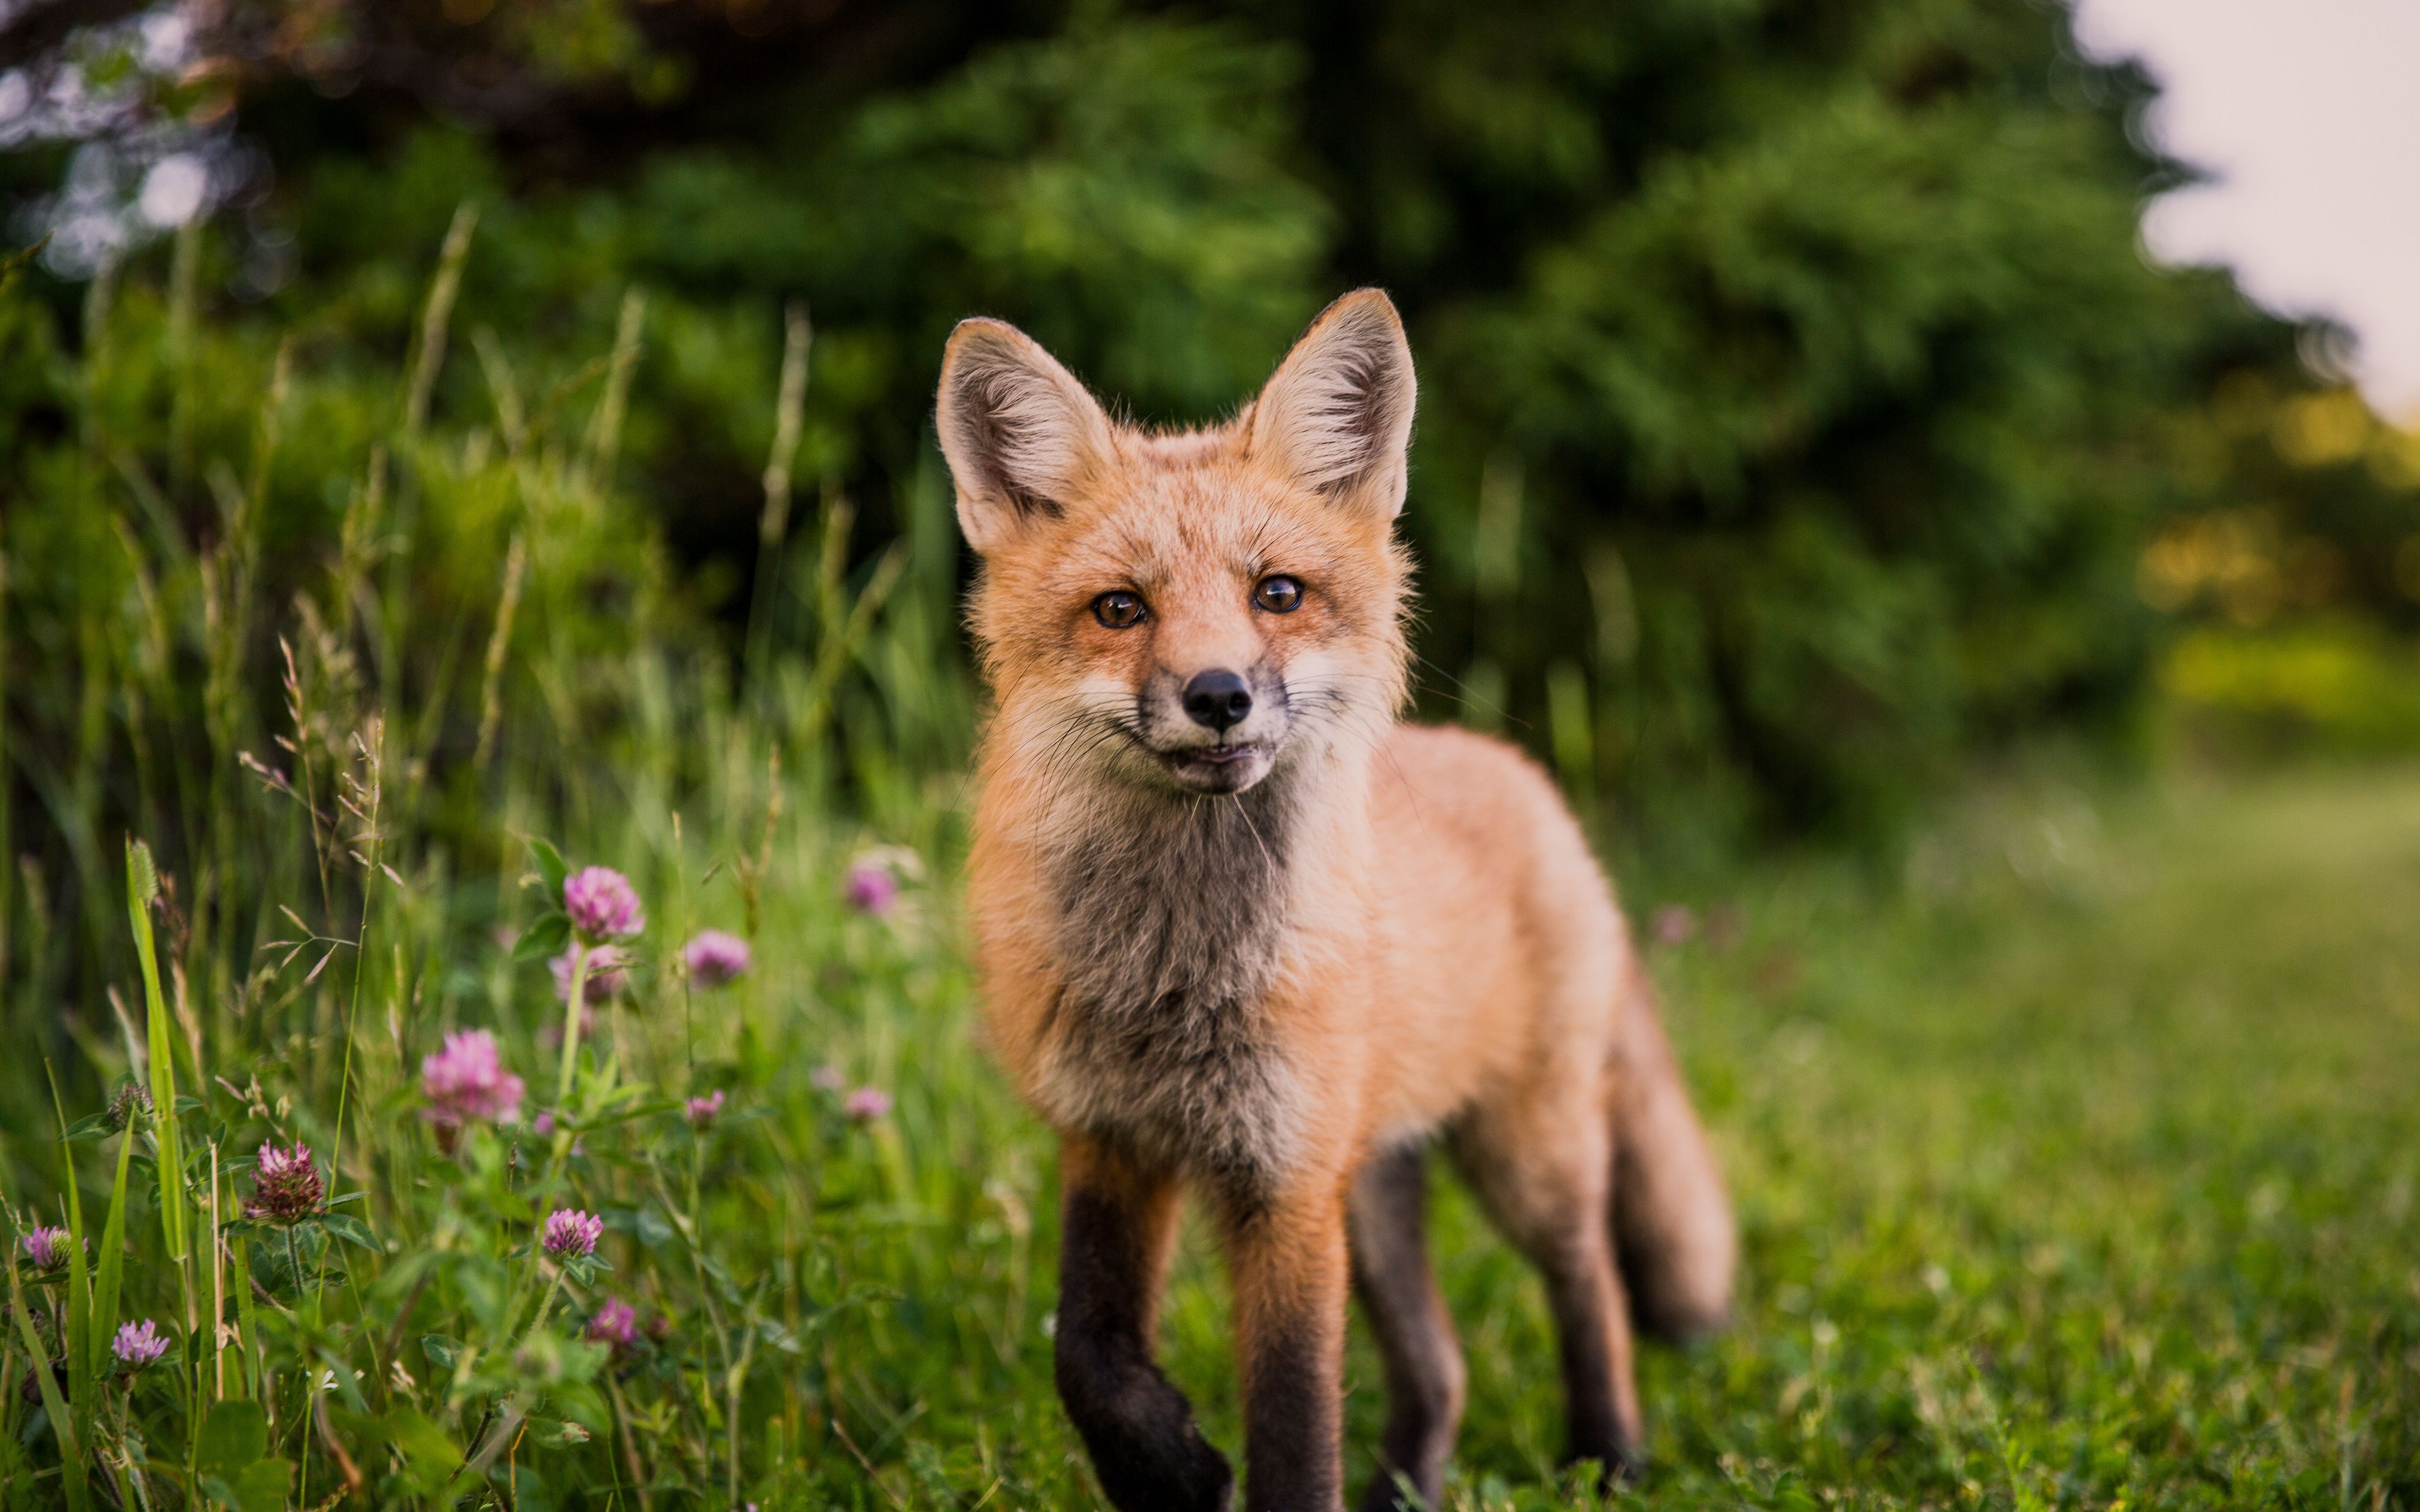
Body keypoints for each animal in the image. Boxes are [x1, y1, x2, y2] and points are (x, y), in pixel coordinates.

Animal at [936, 288, 1736, 1512]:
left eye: (1278, 594)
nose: (1218, 694)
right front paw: (1169, 1470)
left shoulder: (1286, 1182)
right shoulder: (1113, 1138)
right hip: (1377, 1188)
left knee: (1591, 1280)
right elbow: (1088, 1353)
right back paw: (1410, 1485)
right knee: (1444, 1364)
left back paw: (1609, 1456)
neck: (1179, 978)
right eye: (1120, 609)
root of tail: (1523, 775)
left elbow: (1294, 1420)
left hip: (1525, 1156)